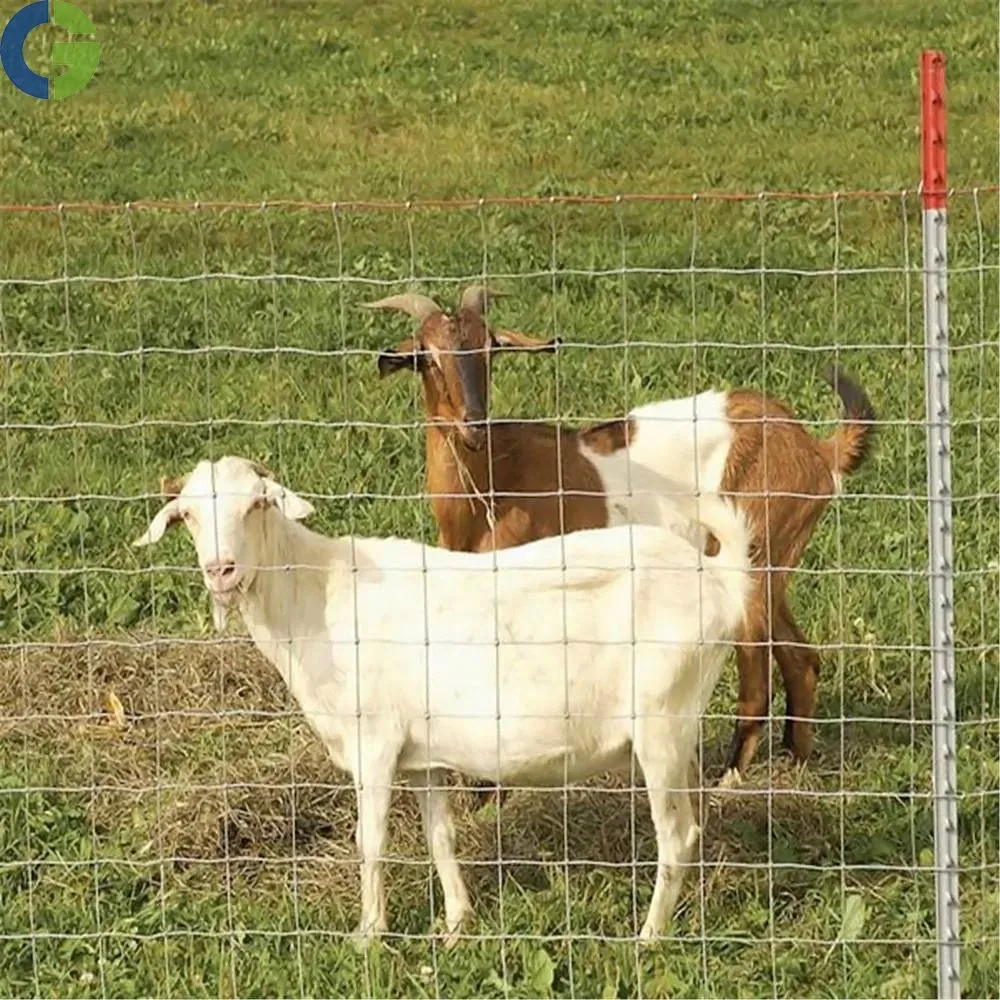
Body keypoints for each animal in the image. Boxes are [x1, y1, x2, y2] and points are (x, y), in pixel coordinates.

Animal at [133, 455, 752, 945]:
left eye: (257, 505)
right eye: (188, 515)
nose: (221, 571)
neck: (317, 594)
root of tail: (720, 579)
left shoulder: (375, 743)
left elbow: (371, 841)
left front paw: (369, 935)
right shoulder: (423, 757)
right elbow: (440, 837)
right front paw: (456, 924)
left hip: (659, 724)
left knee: (676, 834)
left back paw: (649, 938)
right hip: (678, 730)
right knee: (693, 822)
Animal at [370, 286, 876, 787]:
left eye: (490, 348)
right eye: (427, 356)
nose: (472, 422)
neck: (492, 487)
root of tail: (815, 450)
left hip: (754, 554)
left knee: (757, 678)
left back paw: (729, 780)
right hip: (774, 562)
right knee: (801, 659)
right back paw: (796, 763)